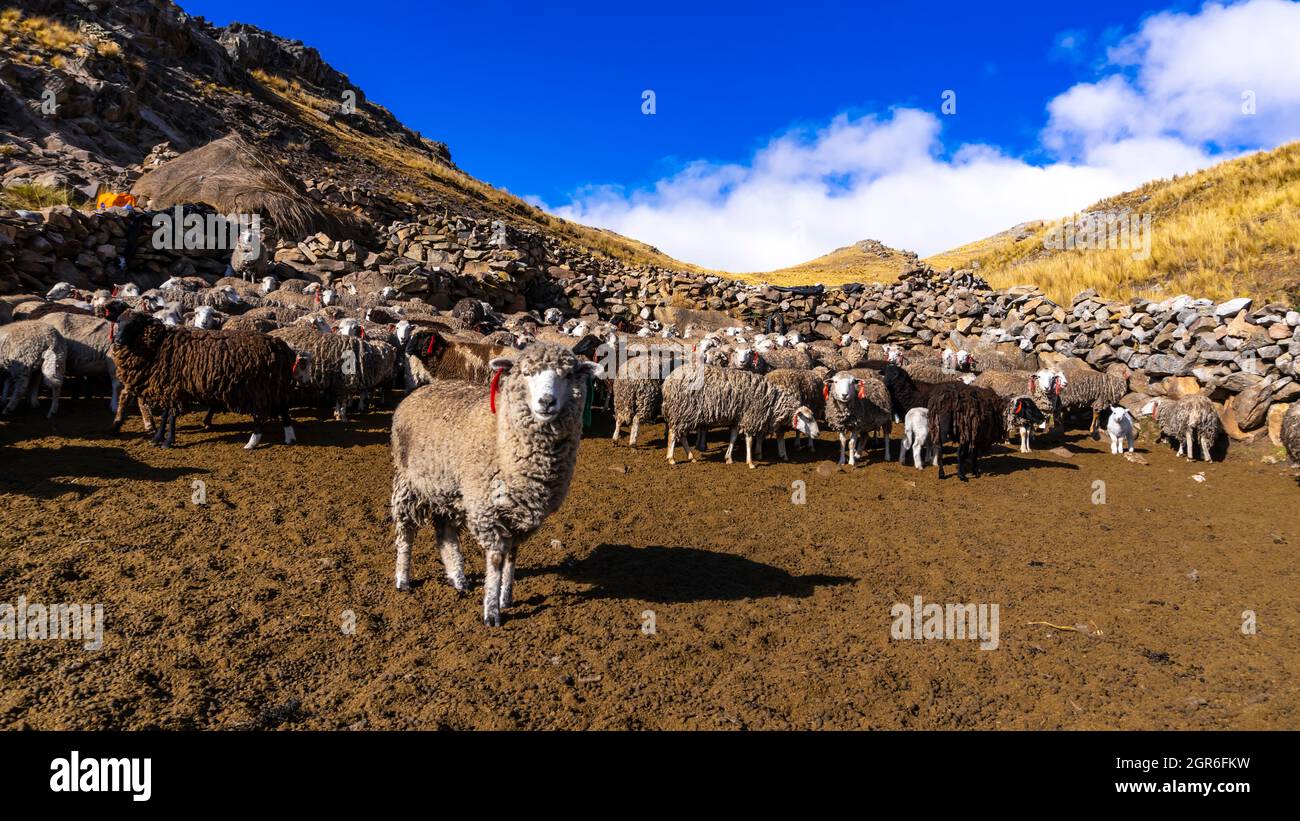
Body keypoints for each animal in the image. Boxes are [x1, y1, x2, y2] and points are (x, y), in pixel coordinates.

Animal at [109, 311, 296, 449]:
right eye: (119, 321)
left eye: (135, 324)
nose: (117, 340)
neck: (158, 345)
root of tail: (279, 346)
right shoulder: (169, 387)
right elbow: (165, 415)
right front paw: (157, 438)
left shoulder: (173, 386)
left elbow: (170, 416)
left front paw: (167, 441)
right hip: (274, 386)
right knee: (283, 409)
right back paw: (289, 438)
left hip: (258, 388)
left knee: (261, 416)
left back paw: (252, 443)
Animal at [390, 343, 599, 626]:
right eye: (526, 373)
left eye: (568, 375)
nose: (546, 402)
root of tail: (420, 391)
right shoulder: (487, 510)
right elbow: (497, 559)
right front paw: (491, 612)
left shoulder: (520, 515)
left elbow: (512, 556)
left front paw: (505, 598)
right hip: (409, 482)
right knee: (406, 531)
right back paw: (403, 578)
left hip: (450, 489)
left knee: (446, 534)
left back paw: (458, 578)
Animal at [661, 364, 818, 467]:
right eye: (808, 418)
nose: (817, 433)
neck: (772, 400)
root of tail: (668, 380)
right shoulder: (751, 417)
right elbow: (749, 440)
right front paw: (751, 462)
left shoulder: (738, 418)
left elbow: (733, 437)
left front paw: (728, 458)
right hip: (682, 411)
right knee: (673, 434)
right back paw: (671, 458)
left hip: (684, 414)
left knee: (681, 435)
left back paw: (691, 457)